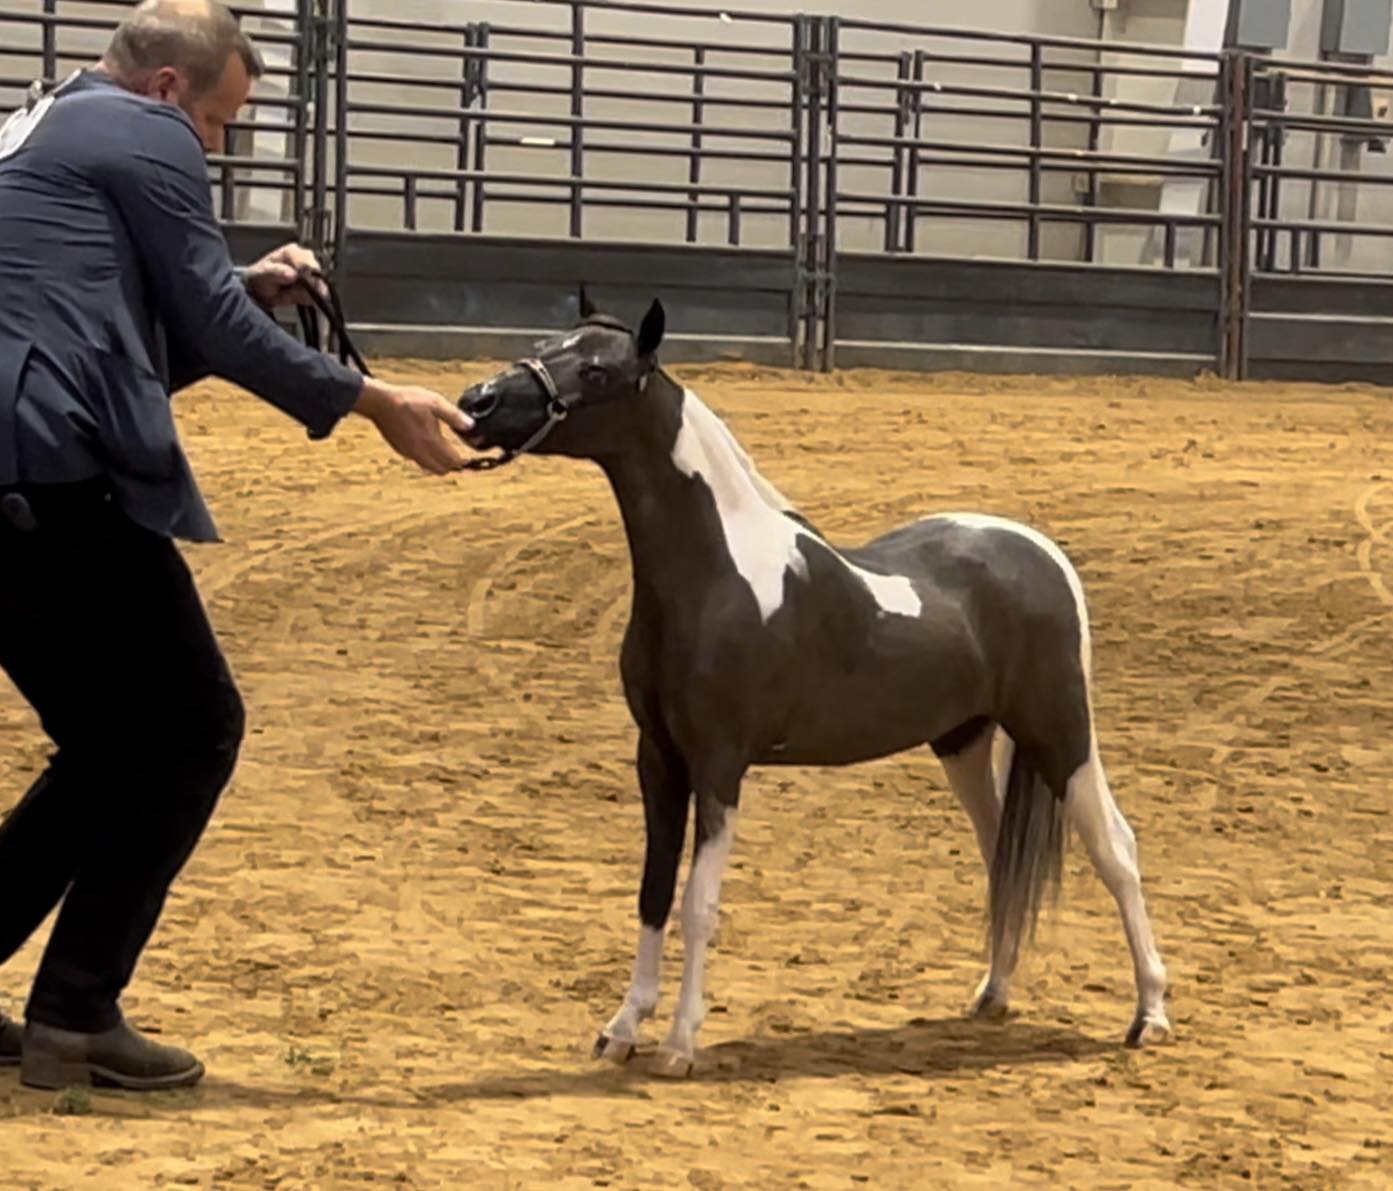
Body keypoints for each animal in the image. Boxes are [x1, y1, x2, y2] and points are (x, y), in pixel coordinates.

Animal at [456, 290, 1171, 1077]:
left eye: (594, 370)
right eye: (543, 344)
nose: (476, 401)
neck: (717, 573)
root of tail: (1042, 554)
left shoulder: (719, 764)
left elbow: (698, 902)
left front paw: (679, 1044)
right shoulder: (659, 759)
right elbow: (652, 890)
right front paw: (622, 1028)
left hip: (1060, 732)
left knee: (1116, 848)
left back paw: (1150, 1014)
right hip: (962, 742)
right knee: (999, 860)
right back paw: (992, 994)